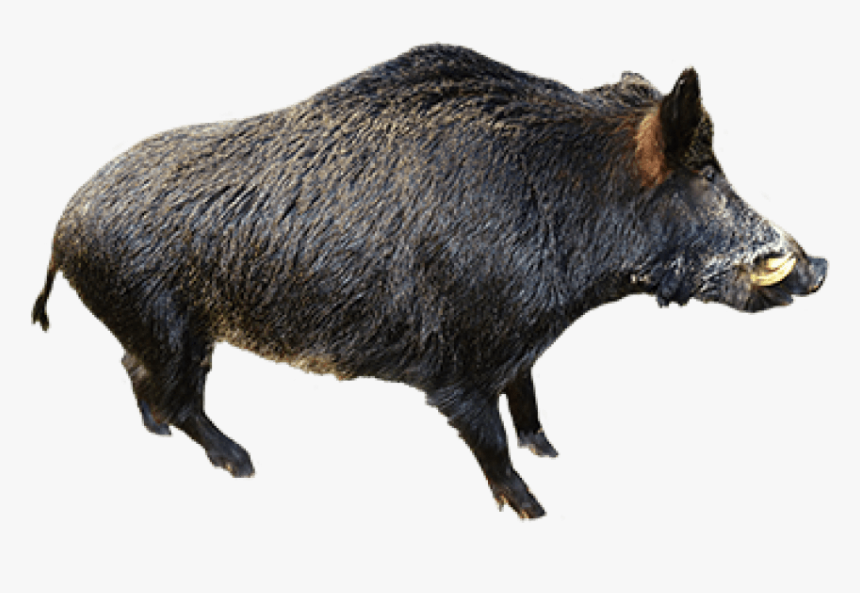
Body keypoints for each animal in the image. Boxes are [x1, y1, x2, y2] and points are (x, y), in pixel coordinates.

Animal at [32, 45, 827, 518]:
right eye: (705, 172)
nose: (818, 267)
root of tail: (62, 224)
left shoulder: (521, 342)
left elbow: (526, 397)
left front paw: (551, 450)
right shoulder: (460, 365)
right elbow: (489, 437)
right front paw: (535, 508)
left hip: (157, 325)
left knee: (137, 373)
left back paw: (158, 434)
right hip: (172, 323)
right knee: (178, 392)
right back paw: (243, 464)